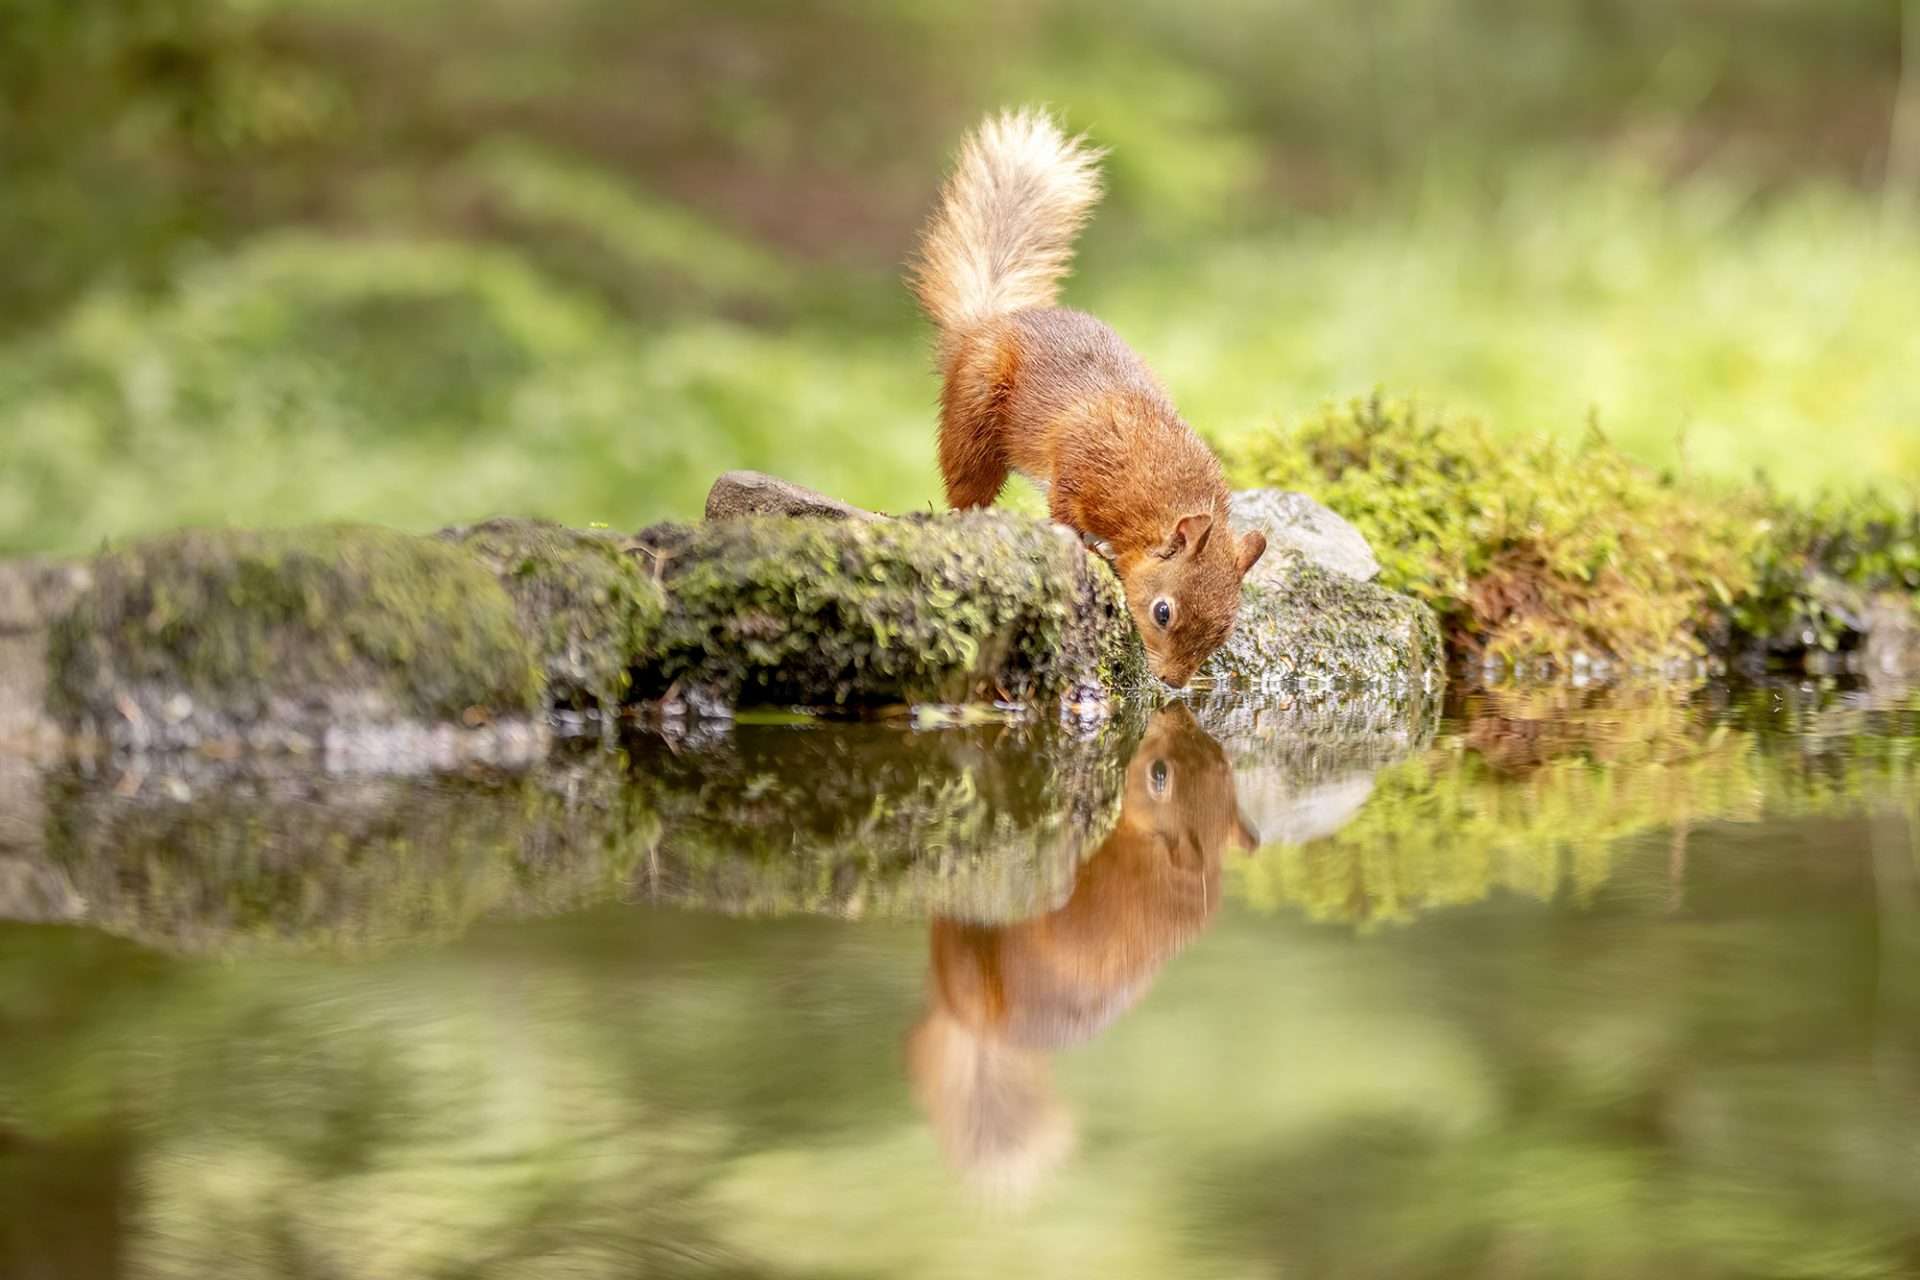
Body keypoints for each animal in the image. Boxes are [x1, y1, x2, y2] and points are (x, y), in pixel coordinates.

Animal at [909, 108, 1267, 688]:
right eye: (1163, 612)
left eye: (1224, 630)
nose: (1173, 683)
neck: (1152, 492)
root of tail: (987, 323)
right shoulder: (1079, 462)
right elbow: (1063, 508)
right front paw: (1084, 546)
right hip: (976, 422)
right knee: (966, 487)